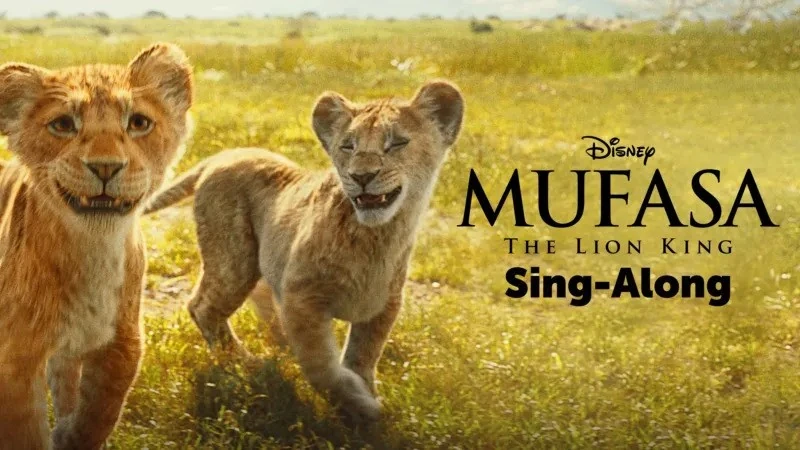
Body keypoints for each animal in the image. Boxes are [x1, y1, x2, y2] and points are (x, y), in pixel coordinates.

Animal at [0, 43, 193, 449]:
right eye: (62, 125)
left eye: (138, 123)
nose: (106, 167)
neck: (93, 251)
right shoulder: (14, 356)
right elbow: (25, 431)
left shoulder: (122, 342)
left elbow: (99, 412)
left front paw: (69, 433)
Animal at [143, 80, 464, 421]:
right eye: (348, 146)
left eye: (397, 143)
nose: (361, 176)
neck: (378, 236)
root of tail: (227, 153)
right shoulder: (302, 298)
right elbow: (322, 366)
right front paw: (359, 403)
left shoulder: (382, 303)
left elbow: (363, 355)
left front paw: (365, 399)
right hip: (233, 261)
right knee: (202, 306)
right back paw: (244, 363)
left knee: (258, 295)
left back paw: (278, 342)